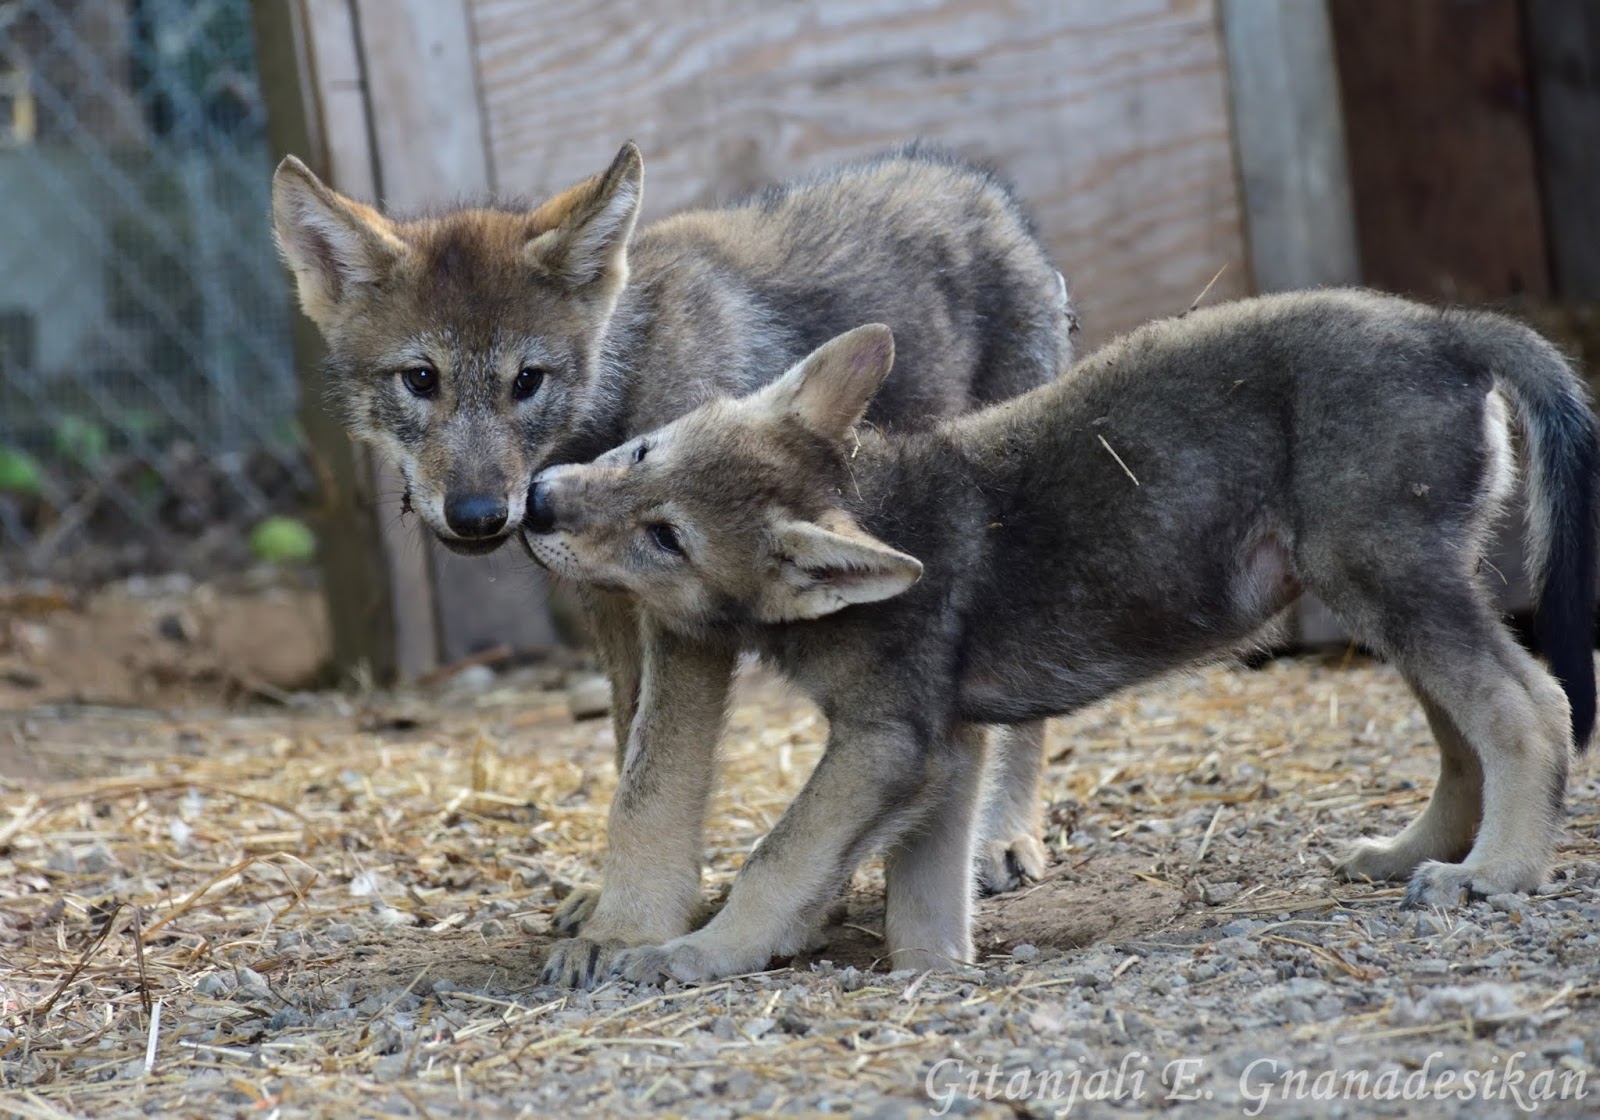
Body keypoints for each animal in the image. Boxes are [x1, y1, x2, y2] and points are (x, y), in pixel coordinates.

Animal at [270, 142, 1076, 983]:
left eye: (527, 381)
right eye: (421, 379)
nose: (481, 514)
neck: (619, 395)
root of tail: (977, 185)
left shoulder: (686, 631)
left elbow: (650, 786)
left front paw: (623, 931)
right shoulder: (617, 612)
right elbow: (631, 757)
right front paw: (626, 907)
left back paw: (1000, 838)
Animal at [524, 290, 1599, 985]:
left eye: (667, 537)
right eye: (640, 451)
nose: (535, 502)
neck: (881, 508)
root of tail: (1447, 328)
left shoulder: (885, 742)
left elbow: (779, 860)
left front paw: (695, 953)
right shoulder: (948, 748)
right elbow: (921, 897)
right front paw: (935, 976)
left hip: (1388, 584)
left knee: (1529, 707)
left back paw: (1496, 873)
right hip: (1392, 591)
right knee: (1464, 736)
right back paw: (1417, 851)